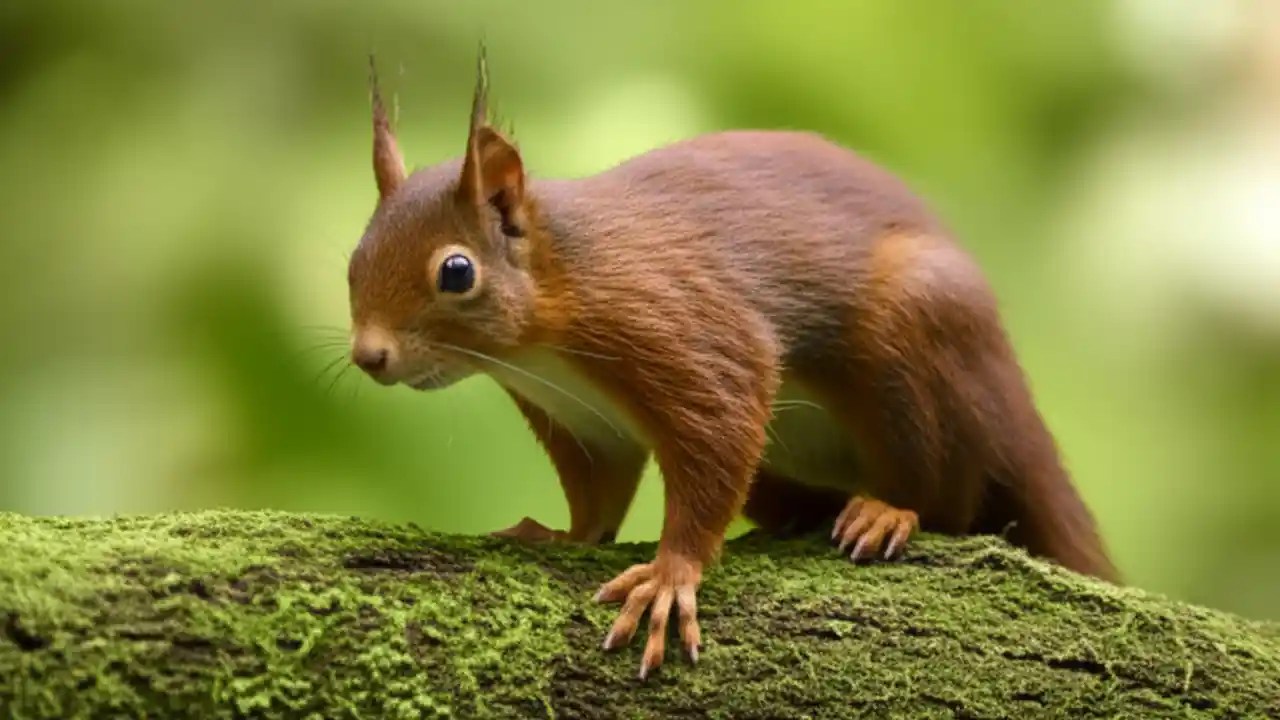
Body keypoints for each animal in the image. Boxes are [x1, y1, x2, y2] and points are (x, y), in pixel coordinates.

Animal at [345, 51, 1118, 680]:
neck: (544, 340)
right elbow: (597, 494)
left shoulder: (681, 325)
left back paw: (889, 509)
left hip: (918, 342)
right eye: (353, 259)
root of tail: (1016, 408)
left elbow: (718, 427)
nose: (368, 356)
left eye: (456, 272)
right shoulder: (579, 418)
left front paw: (670, 574)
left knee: (950, 497)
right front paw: (567, 534)